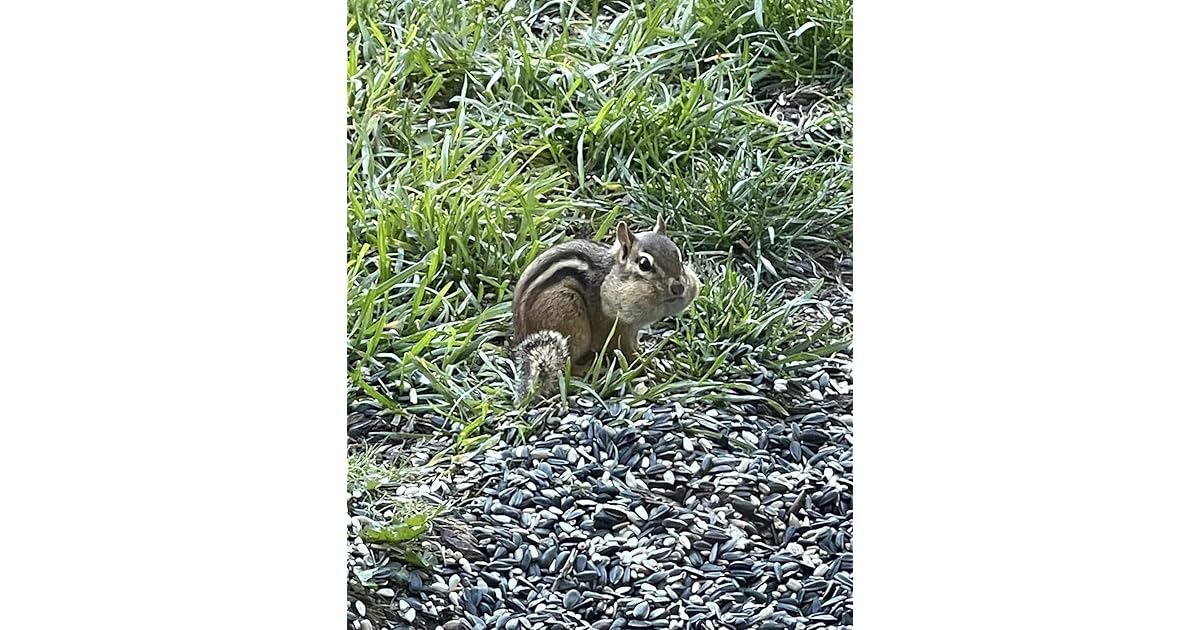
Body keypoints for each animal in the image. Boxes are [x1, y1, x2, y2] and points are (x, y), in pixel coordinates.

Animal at [510, 214, 700, 398]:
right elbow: (626, 352)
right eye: (644, 264)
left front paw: (648, 352)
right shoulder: (613, 327)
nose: (679, 287)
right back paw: (589, 369)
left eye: (679, 257)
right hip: (569, 318)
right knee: (567, 365)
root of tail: (521, 332)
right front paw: (649, 365)